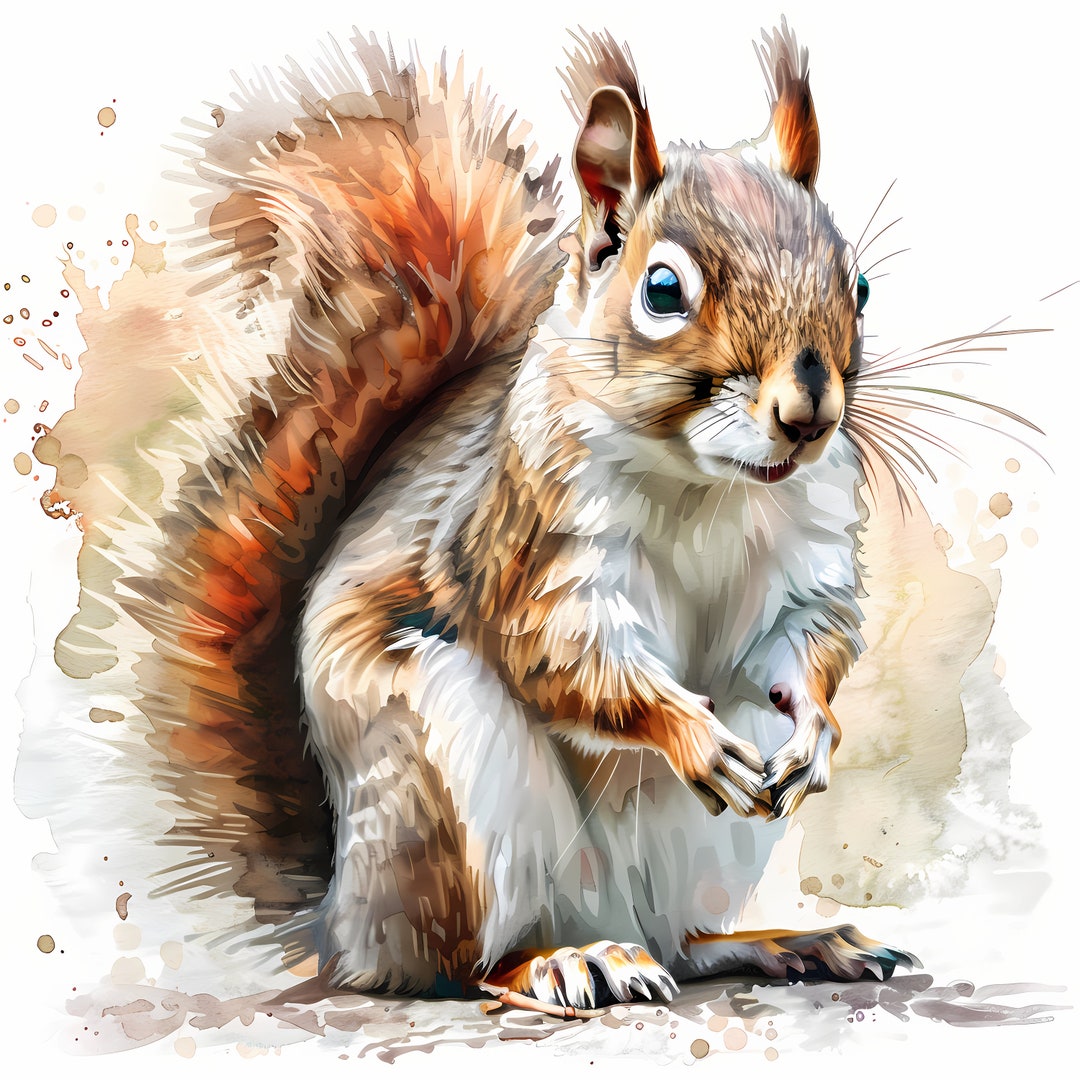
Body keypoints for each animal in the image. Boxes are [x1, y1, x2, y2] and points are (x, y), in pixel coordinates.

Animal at [45, 23, 926, 1012]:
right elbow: (561, 654)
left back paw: (784, 941)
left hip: (702, 856)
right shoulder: (526, 542)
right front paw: (692, 736)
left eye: (858, 284)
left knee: (687, 941)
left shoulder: (806, 551)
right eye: (662, 291)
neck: (711, 482)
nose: (808, 412)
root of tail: (341, 926)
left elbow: (804, 637)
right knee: (458, 966)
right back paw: (563, 961)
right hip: (445, 788)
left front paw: (815, 731)